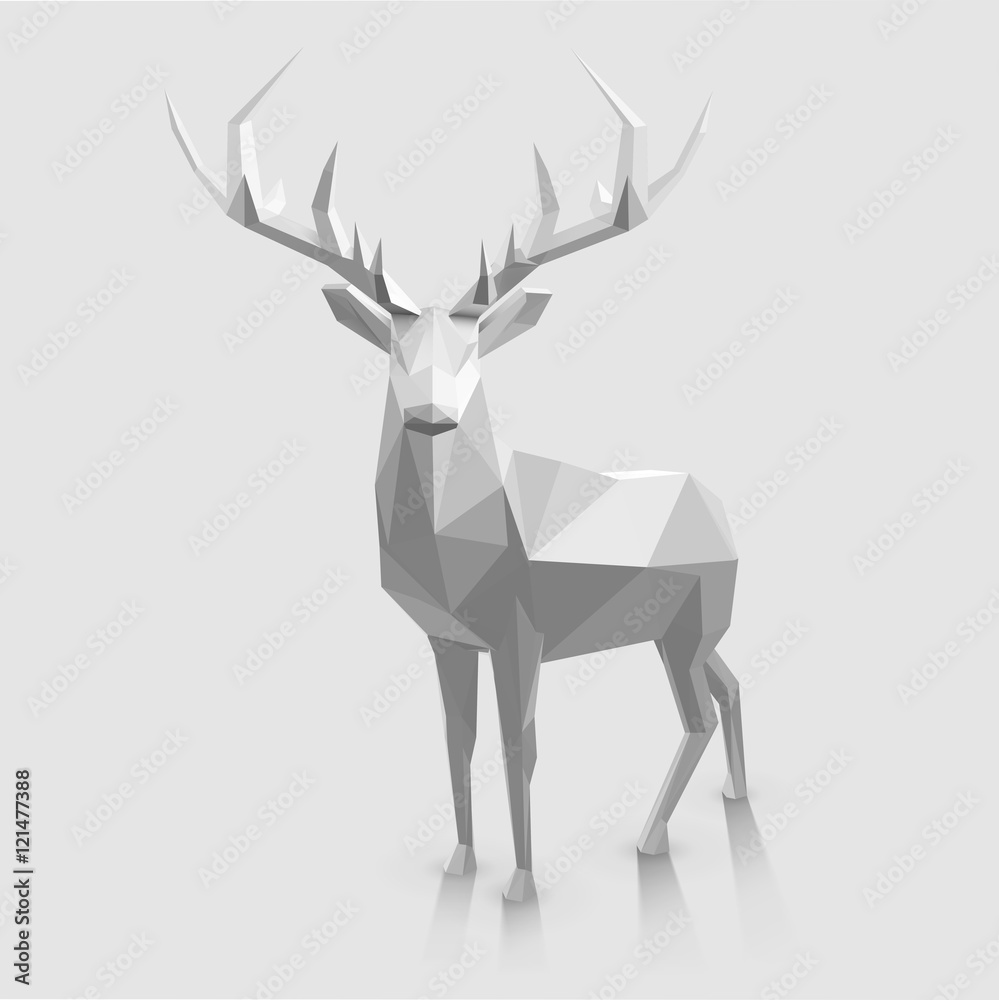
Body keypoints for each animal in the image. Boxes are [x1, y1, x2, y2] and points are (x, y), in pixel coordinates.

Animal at [167, 54, 746, 902]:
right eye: (392, 348)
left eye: (476, 349)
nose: (431, 415)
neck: (465, 551)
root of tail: (722, 512)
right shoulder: (445, 641)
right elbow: (453, 743)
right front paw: (462, 863)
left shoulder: (521, 632)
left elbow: (519, 746)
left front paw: (522, 886)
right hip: (694, 631)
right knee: (731, 688)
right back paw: (732, 797)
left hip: (686, 627)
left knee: (696, 717)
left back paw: (648, 840)